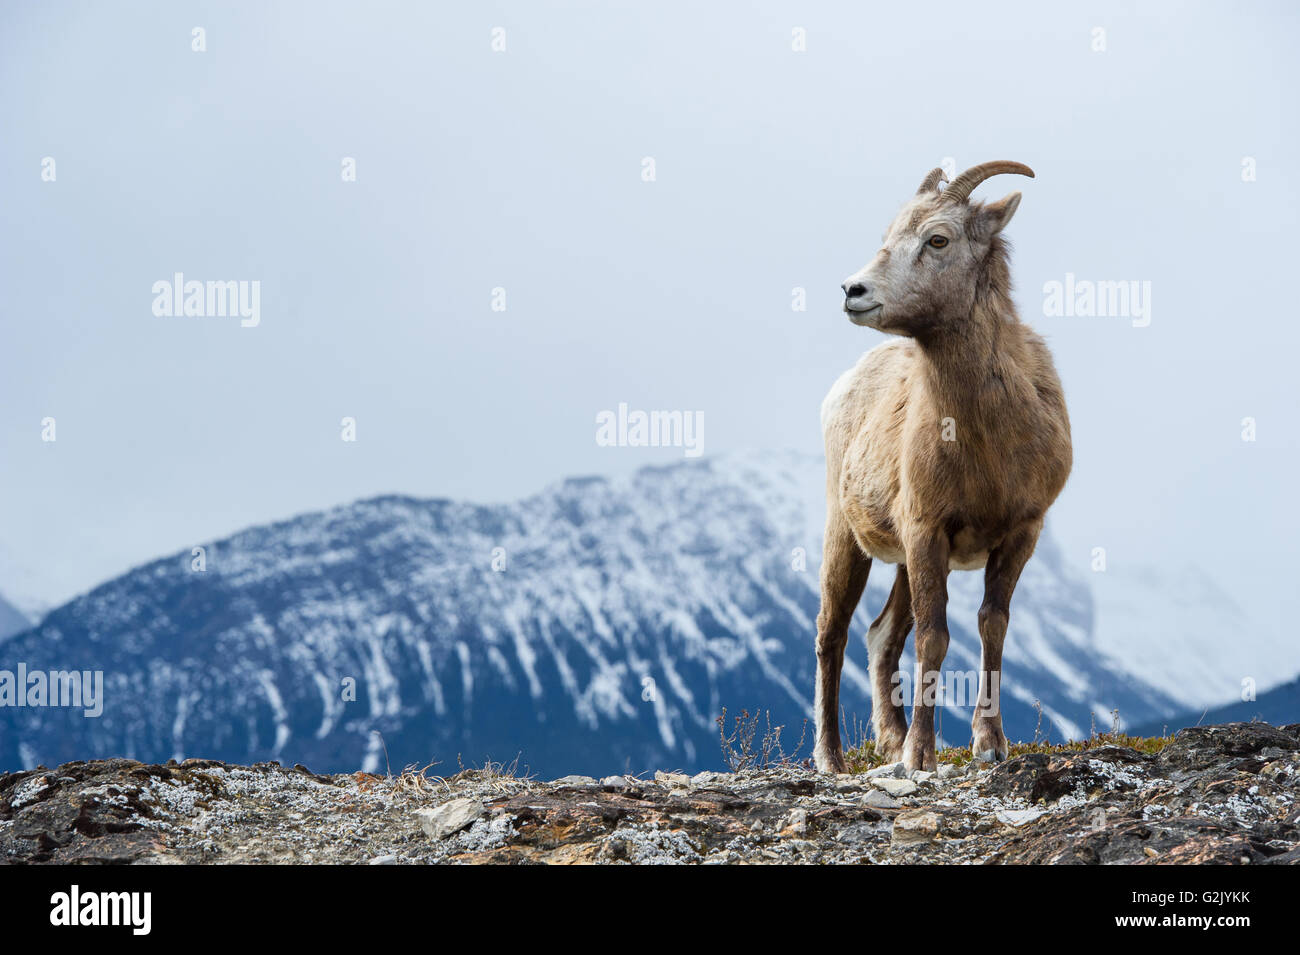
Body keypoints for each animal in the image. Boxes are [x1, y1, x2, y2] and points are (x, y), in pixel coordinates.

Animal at [814, 161, 1072, 773]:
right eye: (890, 234)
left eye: (938, 239)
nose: (854, 292)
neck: (988, 447)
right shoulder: (926, 530)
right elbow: (934, 638)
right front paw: (920, 758)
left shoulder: (1019, 533)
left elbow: (991, 625)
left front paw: (989, 744)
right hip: (847, 535)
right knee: (832, 633)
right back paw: (832, 760)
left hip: (901, 561)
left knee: (880, 635)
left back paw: (887, 740)